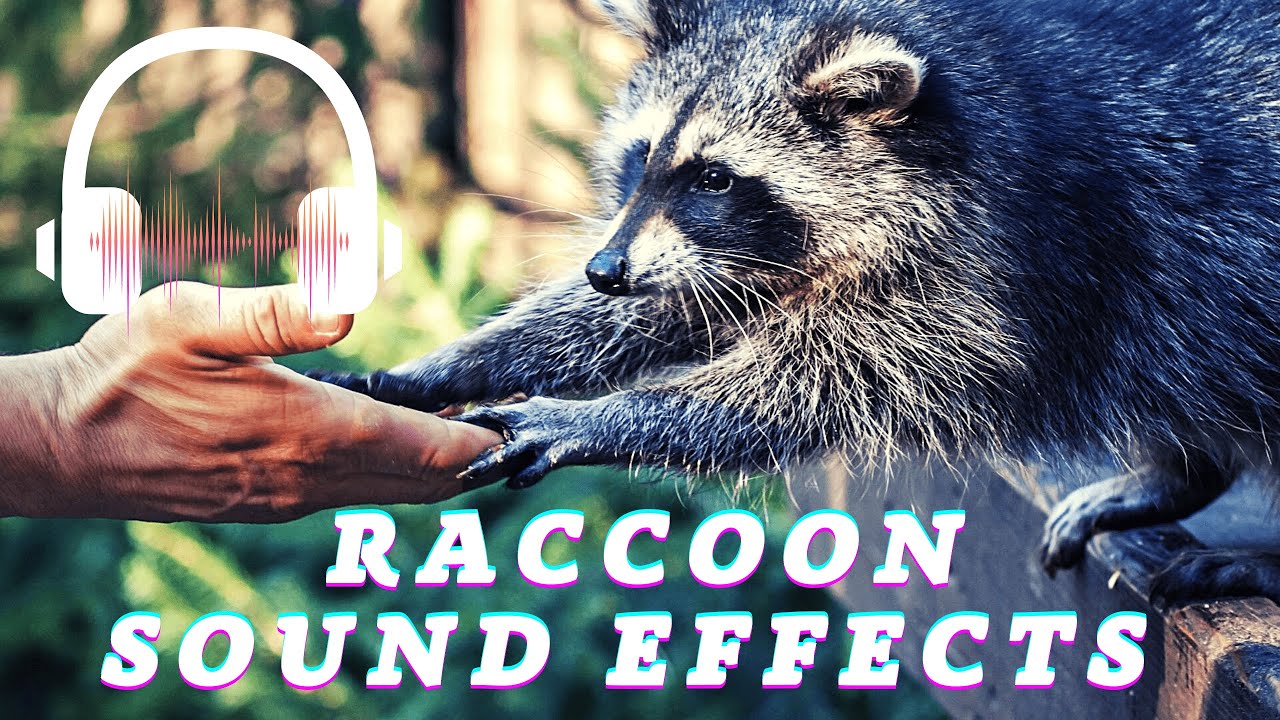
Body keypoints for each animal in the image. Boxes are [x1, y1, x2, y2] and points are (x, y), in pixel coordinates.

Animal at [309, 0, 1280, 606]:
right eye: (643, 156)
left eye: (714, 176)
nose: (604, 270)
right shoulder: (724, 251)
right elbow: (681, 305)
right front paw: (452, 363)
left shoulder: (1005, 255)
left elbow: (838, 380)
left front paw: (605, 416)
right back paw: (1182, 472)